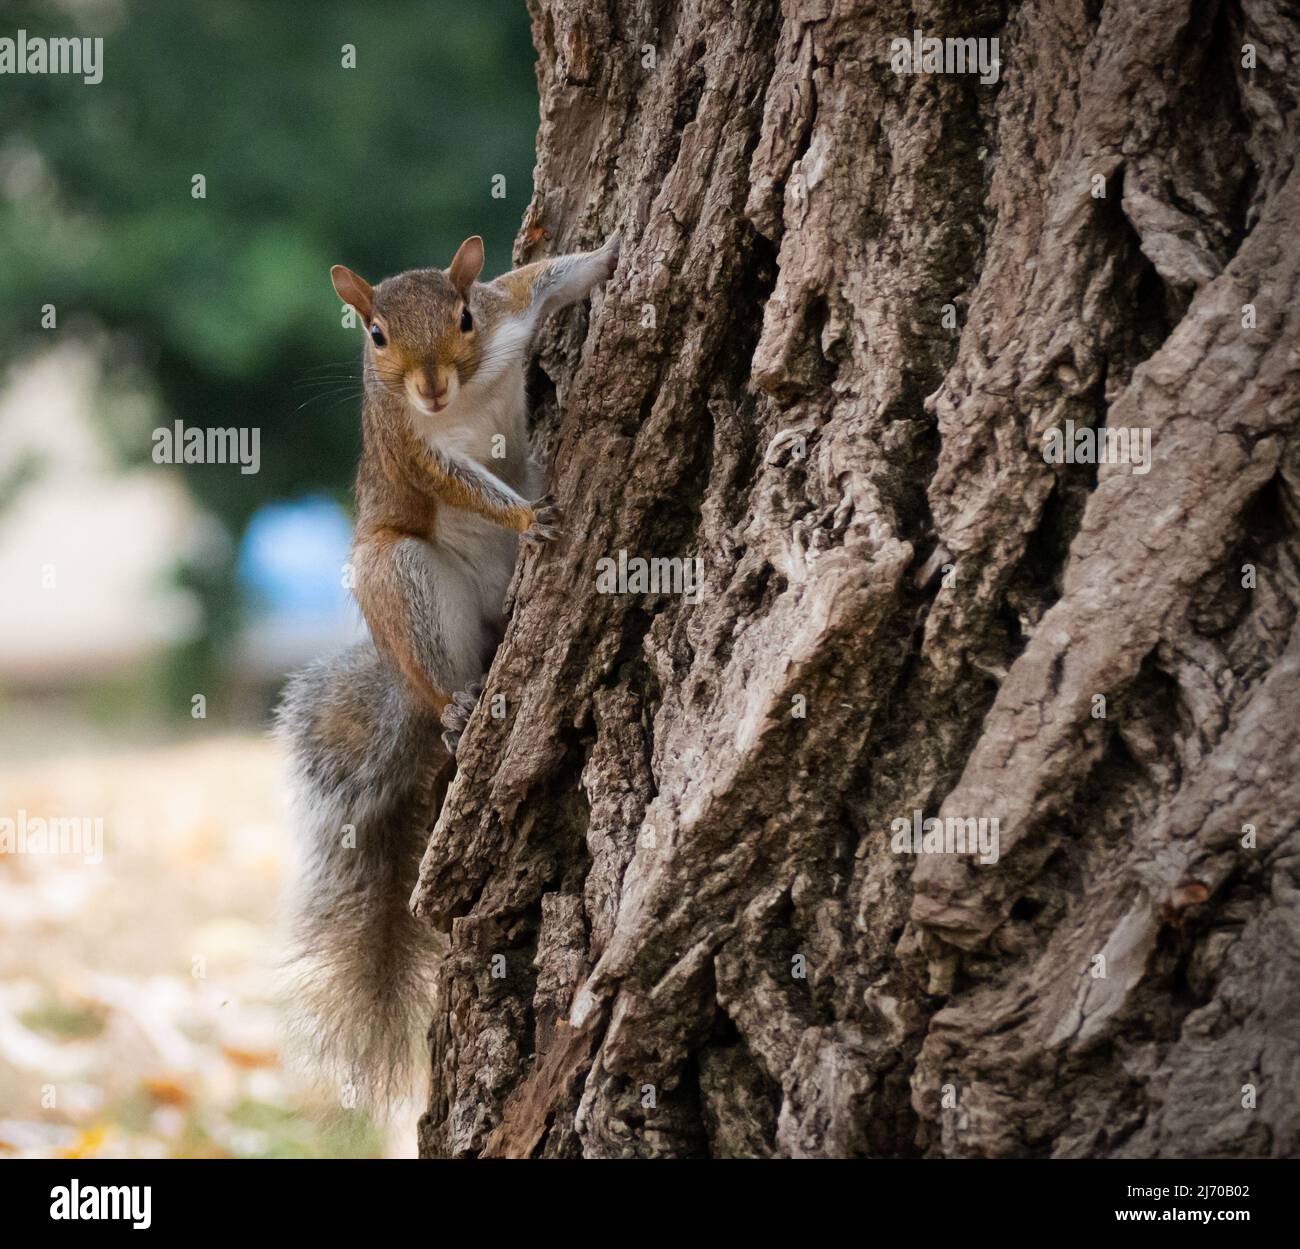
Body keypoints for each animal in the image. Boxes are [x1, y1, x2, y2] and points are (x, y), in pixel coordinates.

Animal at [276, 230, 620, 1106]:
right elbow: (462, 482)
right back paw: (460, 704)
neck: (457, 403)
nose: (429, 387)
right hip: (401, 581)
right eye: (374, 336)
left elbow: (551, 278)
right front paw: (529, 514)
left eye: (463, 316)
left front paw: (612, 250)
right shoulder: (413, 446)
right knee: (437, 680)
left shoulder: (511, 319)